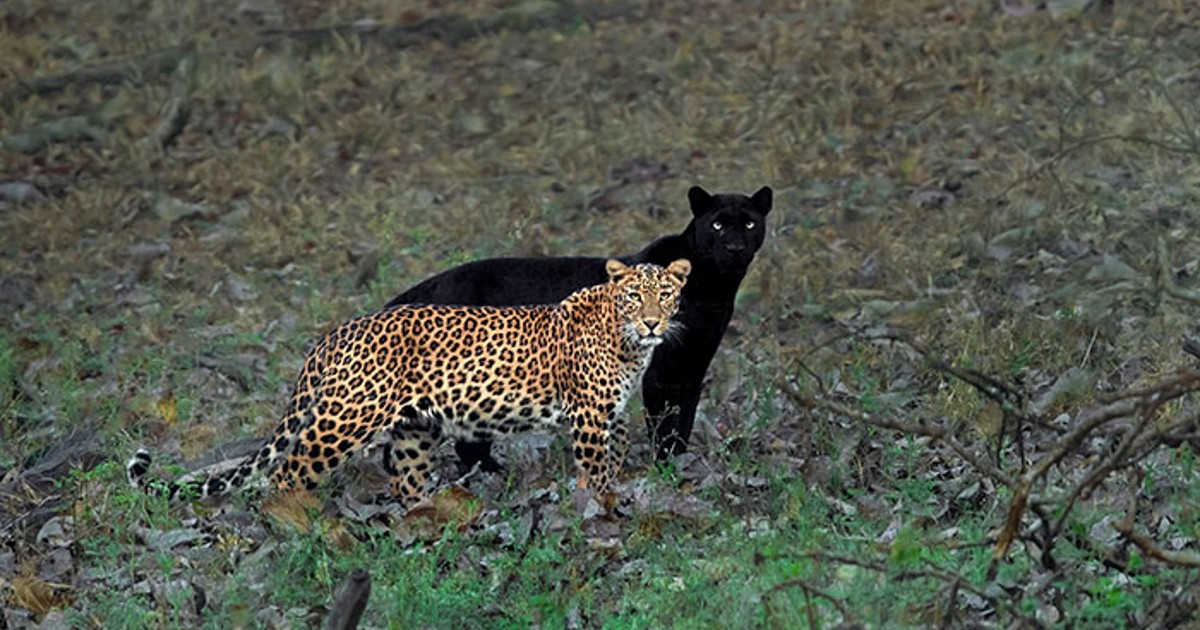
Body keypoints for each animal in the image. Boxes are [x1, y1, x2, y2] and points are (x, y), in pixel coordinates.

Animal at [126, 258, 691, 508]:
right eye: (635, 297)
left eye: (665, 295)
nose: (652, 323)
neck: (627, 342)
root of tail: (334, 333)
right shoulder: (590, 415)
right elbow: (593, 469)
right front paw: (599, 511)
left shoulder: (611, 414)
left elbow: (614, 457)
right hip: (343, 419)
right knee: (286, 474)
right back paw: (296, 524)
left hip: (415, 430)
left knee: (406, 481)